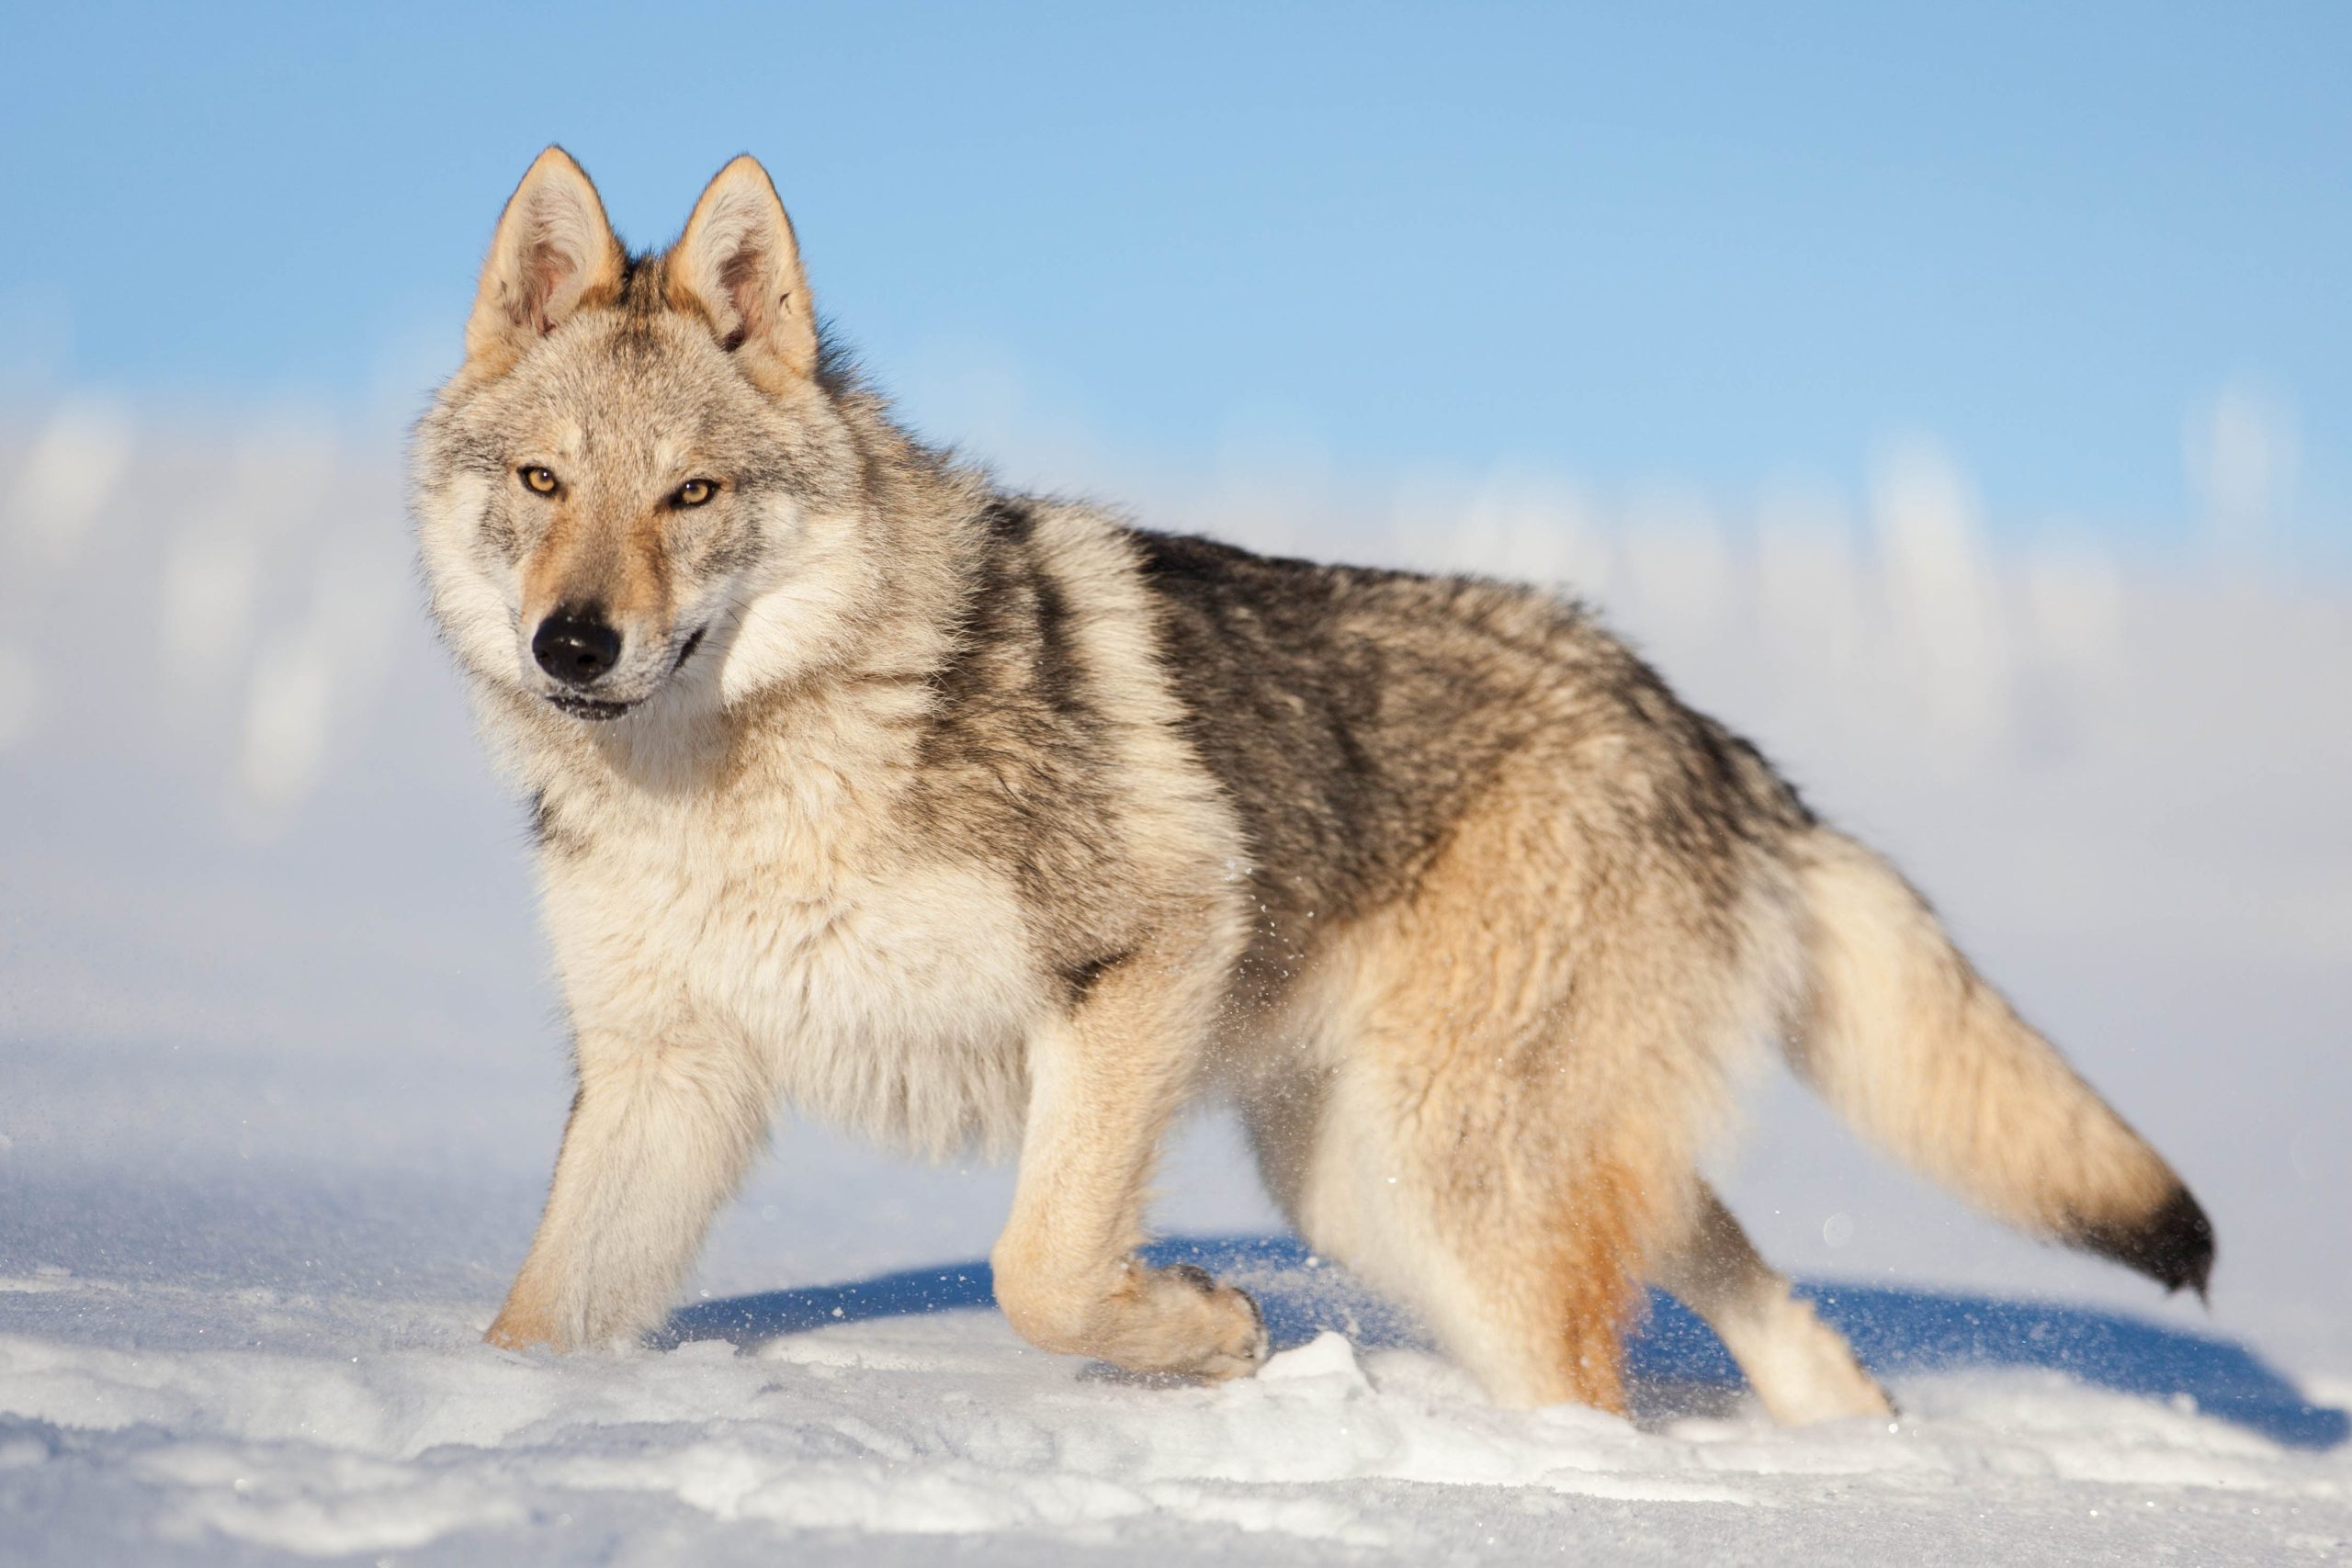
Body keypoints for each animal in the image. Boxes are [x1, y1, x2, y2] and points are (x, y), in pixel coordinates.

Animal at [411, 147, 2213, 1421]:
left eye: (693, 494)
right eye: (545, 482)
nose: (574, 641)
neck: (726, 780)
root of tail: (1684, 713)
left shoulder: (1141, 951)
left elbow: (1037, 1270)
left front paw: (1204, 1332)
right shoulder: (664, 1078)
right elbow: (535, 1320)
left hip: (1437, 1169)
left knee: (1599, 1372)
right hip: (1376, 1180)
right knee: (1723, 1272)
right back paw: (1850, 1430)